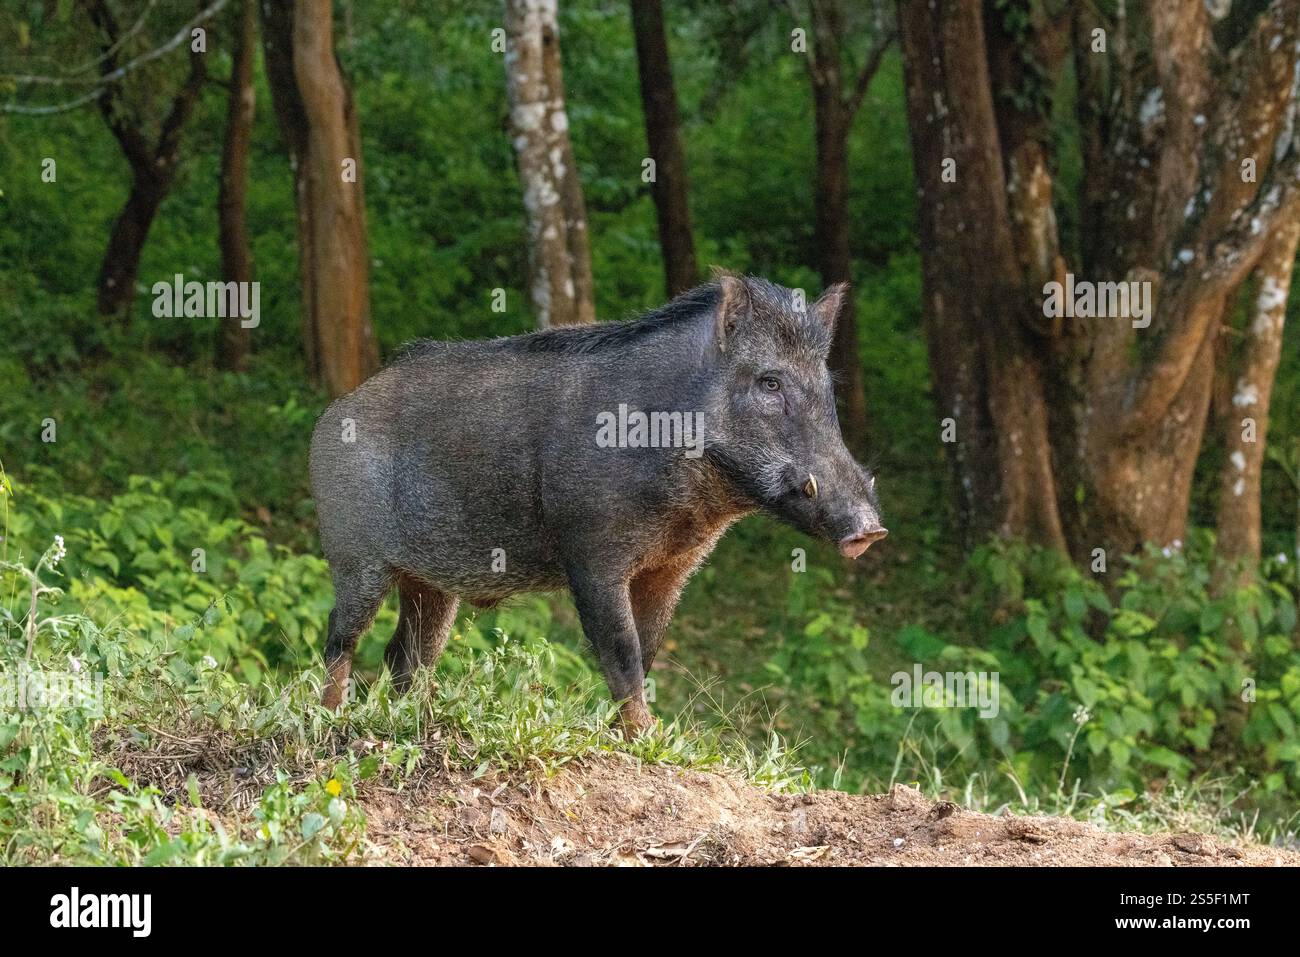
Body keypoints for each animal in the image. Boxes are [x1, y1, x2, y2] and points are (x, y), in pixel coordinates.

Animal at [309, 275, 886, 733]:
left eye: (828, 387)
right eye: (769, 382)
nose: (870, 530)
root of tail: (333, 411)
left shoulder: (672, 568)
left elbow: (647, 652)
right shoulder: (592, 554)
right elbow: (622, 651)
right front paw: (647, 739)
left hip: (430, 581)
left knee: (407, 655)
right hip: (355, 554)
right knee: (340, 637)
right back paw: (331, 720)